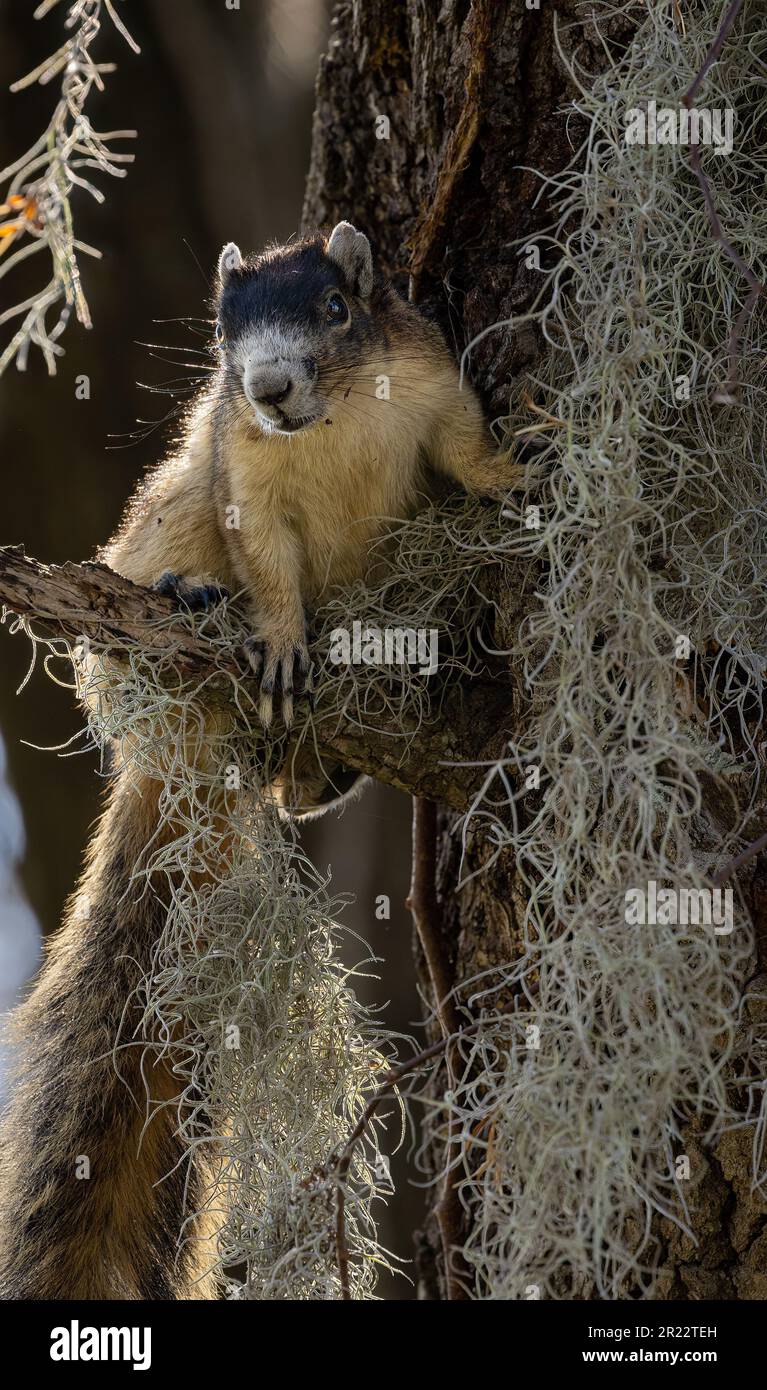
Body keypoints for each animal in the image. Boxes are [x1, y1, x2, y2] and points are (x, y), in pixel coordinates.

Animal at [0, 222, 526, 1299]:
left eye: (335, 308)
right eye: (221, 335)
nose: (268, 386)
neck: (325, 428)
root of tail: (182, 769)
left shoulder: (434, 389)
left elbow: (463, 448)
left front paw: (508, 473)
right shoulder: (239, 479)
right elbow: (271, 568)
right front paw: (279, 641)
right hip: (164, 523)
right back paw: (186, 599)